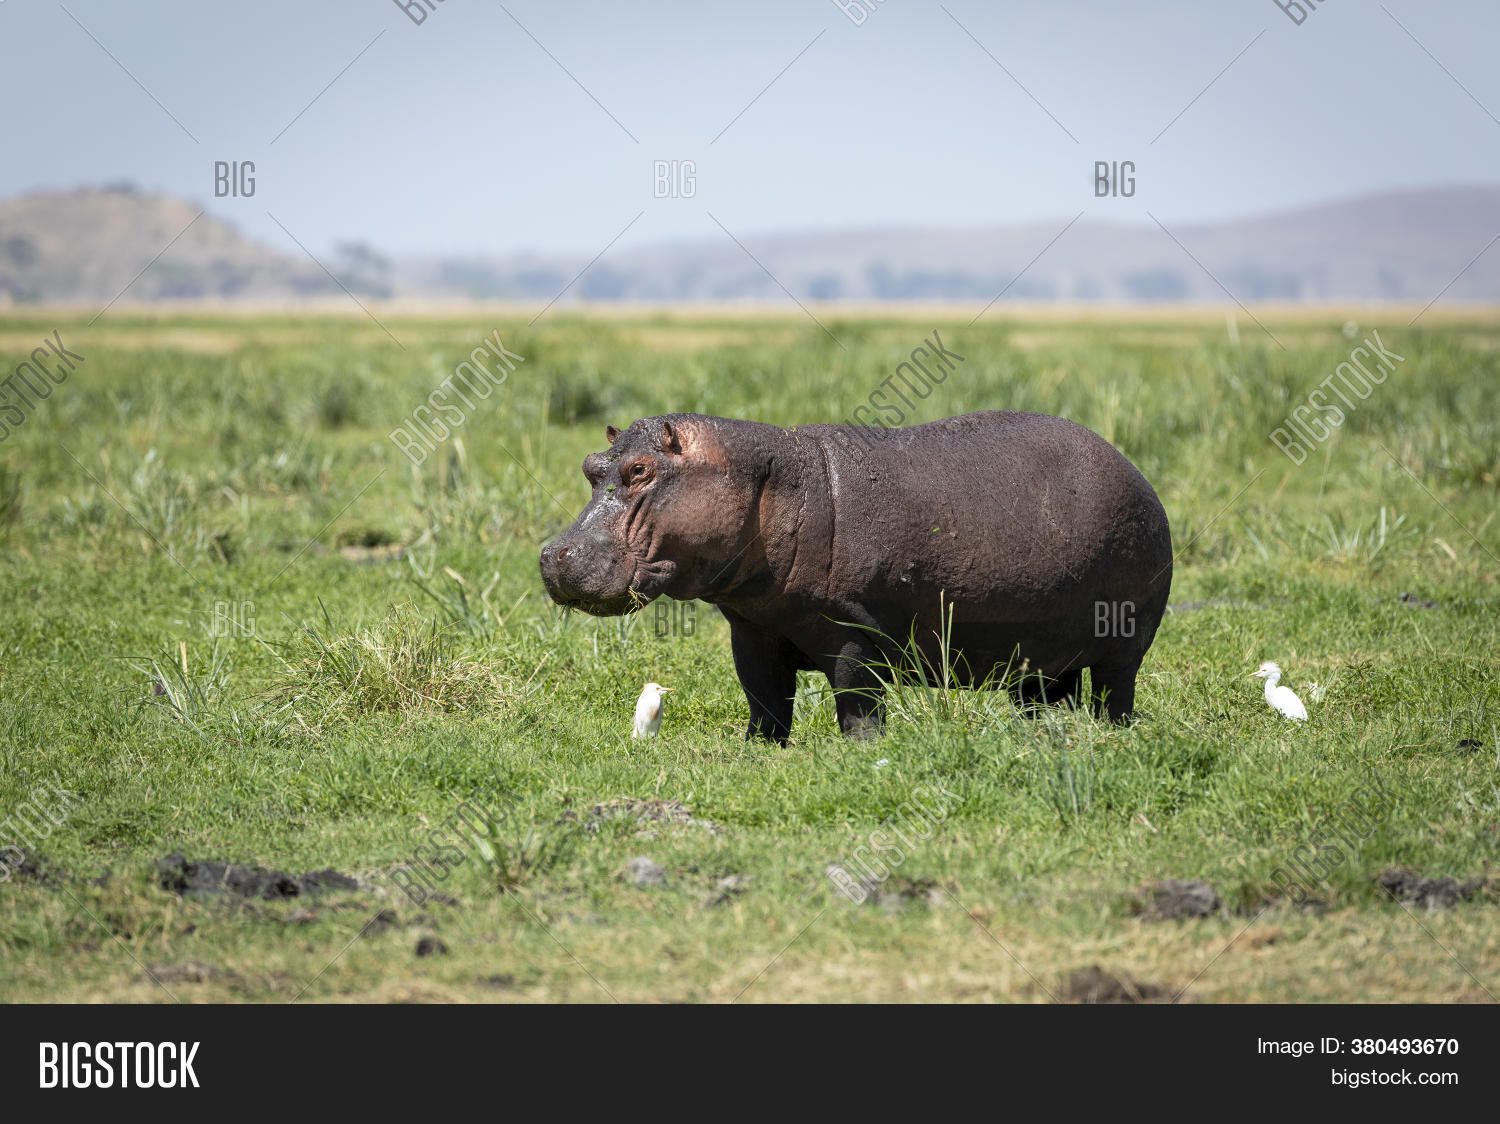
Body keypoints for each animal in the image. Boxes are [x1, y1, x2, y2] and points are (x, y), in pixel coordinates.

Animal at [539, 411, 1172, 742]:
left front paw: (863, 750)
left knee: (1116, 693)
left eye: (639, 470)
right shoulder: (753, 628)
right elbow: (763, 695)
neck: (770, 482)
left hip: (1125, 641)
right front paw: (759, 748)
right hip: (1043, 653)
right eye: (591, 468)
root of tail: (1134, 469)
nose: (553, 555)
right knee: (1046, 697)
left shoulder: (853, 629)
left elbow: (857, 698)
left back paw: (1116, 737)